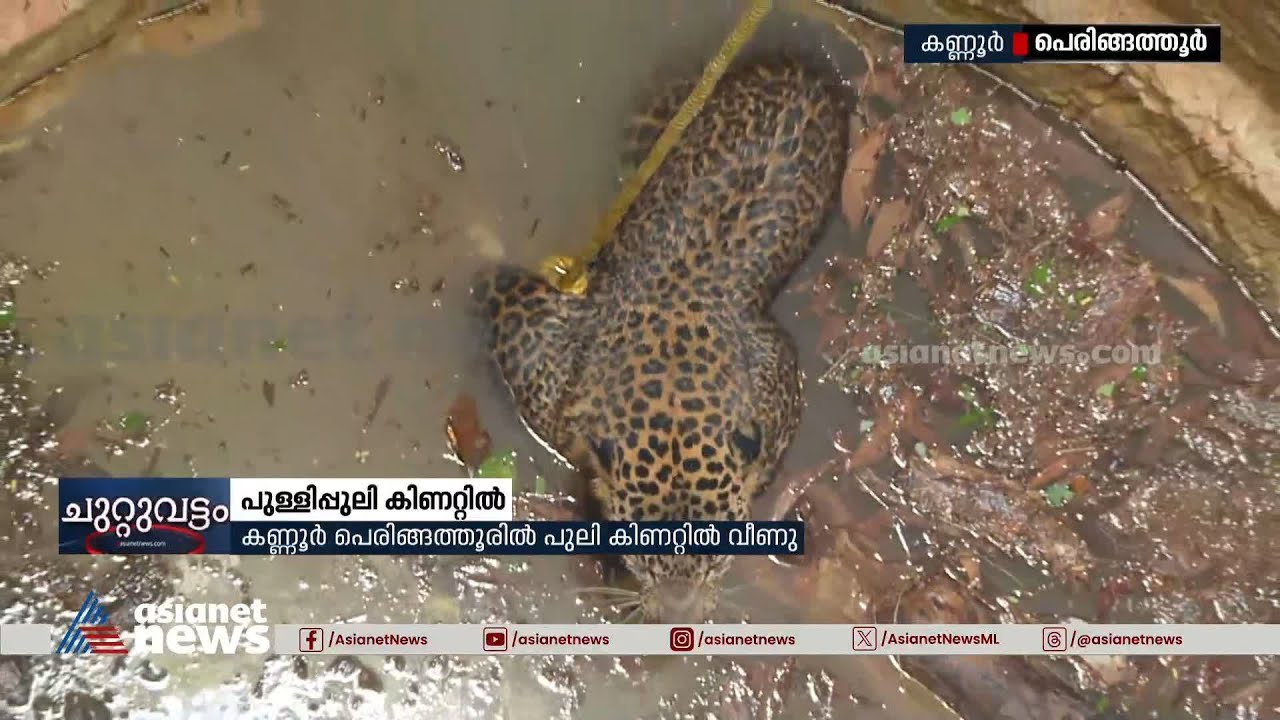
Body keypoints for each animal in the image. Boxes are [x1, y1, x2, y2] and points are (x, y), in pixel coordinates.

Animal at [473, 57, 847, 622]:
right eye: (643, 560)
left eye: (716, 560)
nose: (679, 618)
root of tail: (799, 66)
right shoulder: (530, 344)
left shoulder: (778, 379)